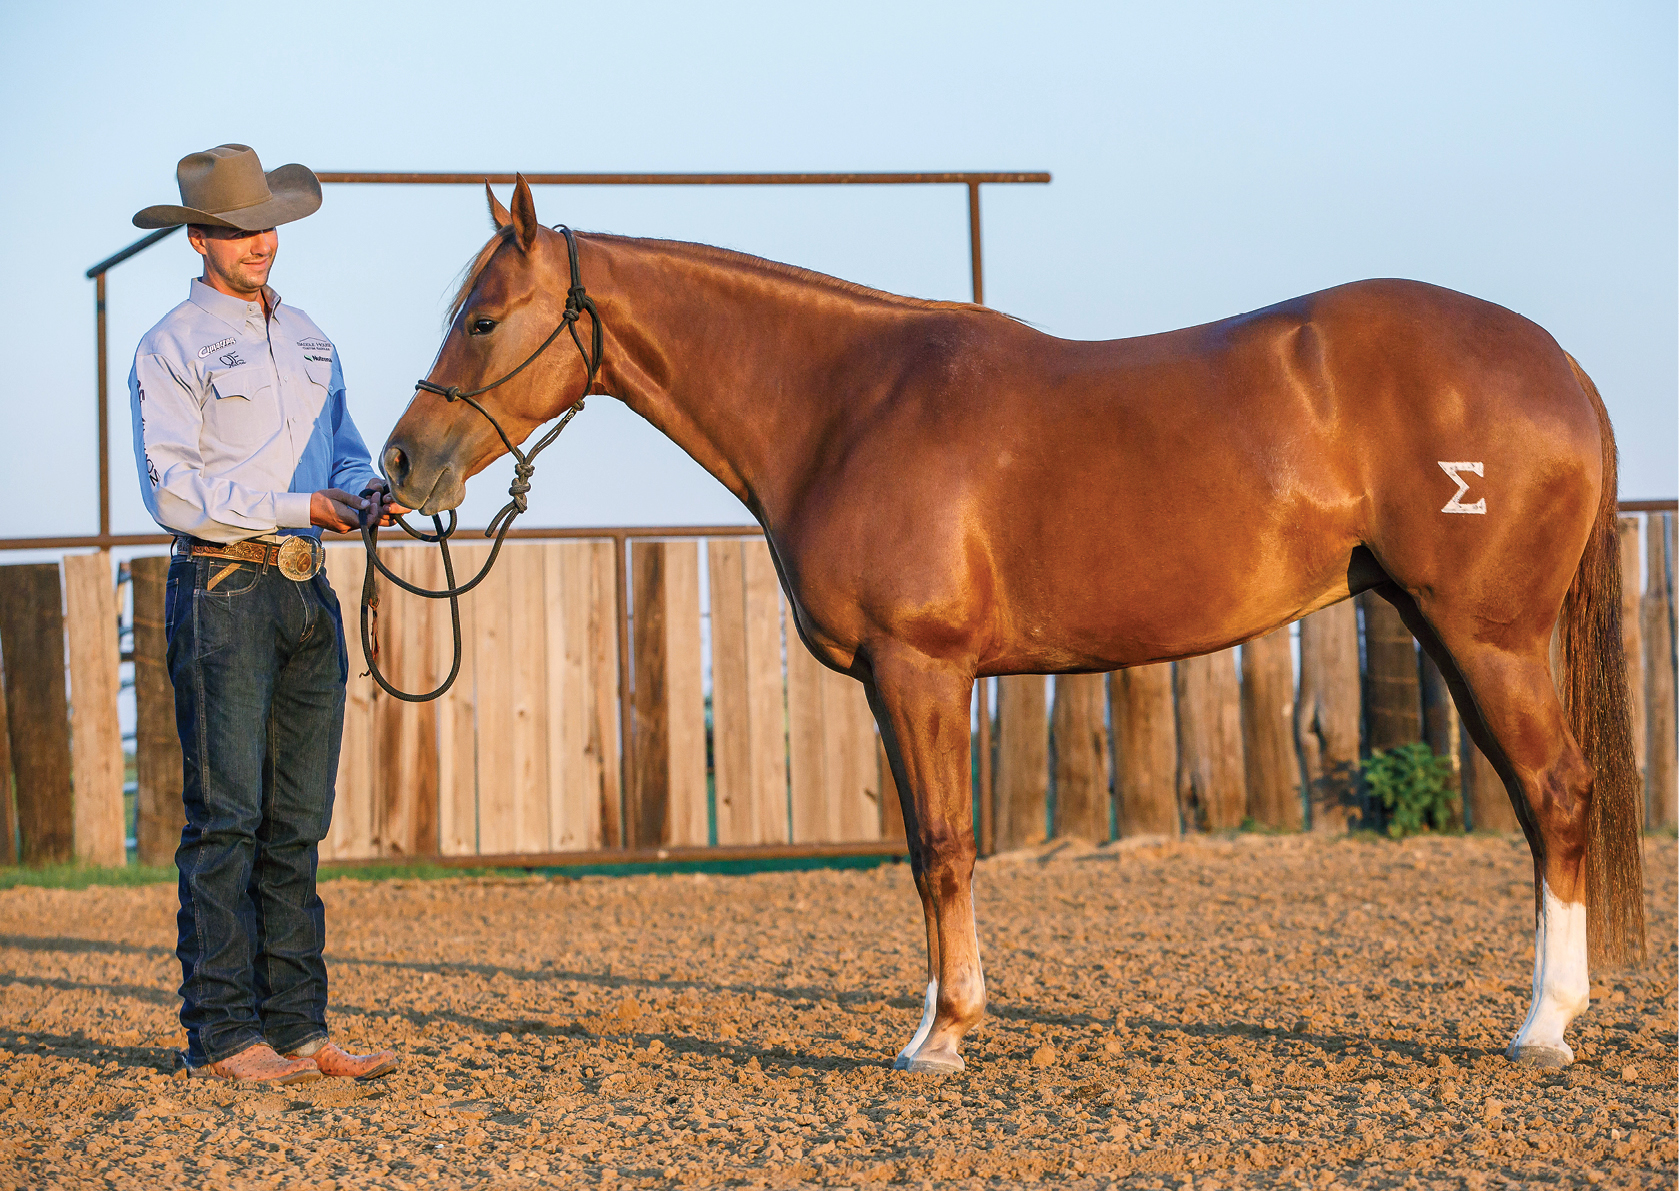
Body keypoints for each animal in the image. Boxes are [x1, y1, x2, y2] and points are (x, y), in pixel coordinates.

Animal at [380, 175, 1645, 1074]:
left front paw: (938, 1039)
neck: (842, 405)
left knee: (1554, 796)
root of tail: (1559, 365)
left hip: (1483, 636)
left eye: (483, 319)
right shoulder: (899, 681)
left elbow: (940, 846)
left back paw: (1542, 1027)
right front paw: (948, 1017)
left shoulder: (920, 669)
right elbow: (924, 845)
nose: (401, 463)